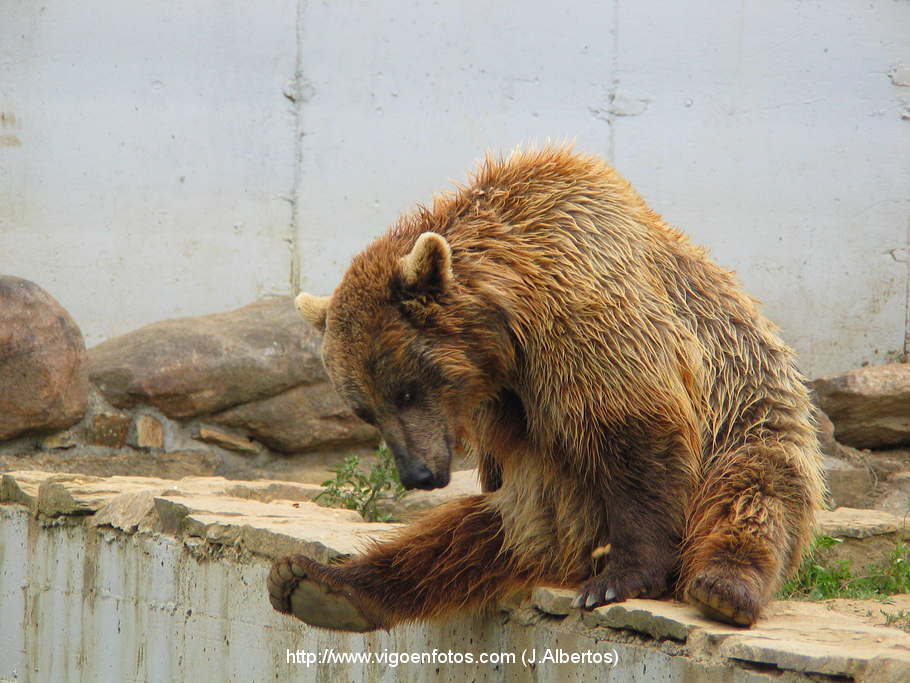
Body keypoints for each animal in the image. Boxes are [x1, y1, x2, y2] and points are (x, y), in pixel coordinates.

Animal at [268, 146, 824, 631]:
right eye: (365, 411)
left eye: (405, 391)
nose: (417, 475)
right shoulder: (504, 397)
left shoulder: (590, 315)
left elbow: (636, 431)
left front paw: (620, 577)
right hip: (555, 510)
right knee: (466, 536)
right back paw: (321, 586)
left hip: (750, 417)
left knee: (754, 489)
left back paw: (724, 586)